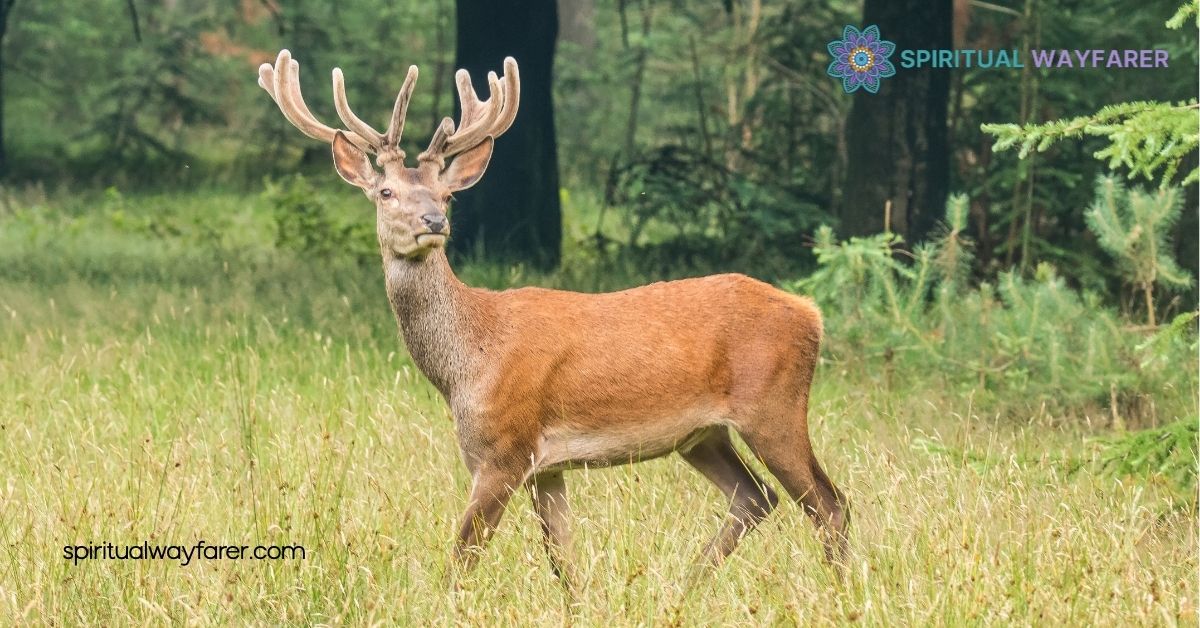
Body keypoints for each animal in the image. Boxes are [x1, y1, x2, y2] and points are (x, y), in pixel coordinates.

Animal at [257, 49, 848, 589]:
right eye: (385, 192)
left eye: (447, 194)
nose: (433, 221)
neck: (466, 361)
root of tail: (811, 313)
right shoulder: (548, 466)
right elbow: (563, 562)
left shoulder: (504, 447)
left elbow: (462, 558)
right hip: (703, 435)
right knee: (757, 497)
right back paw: (688, 584)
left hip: (772, 405)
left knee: (828, 501)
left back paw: (836, 587)